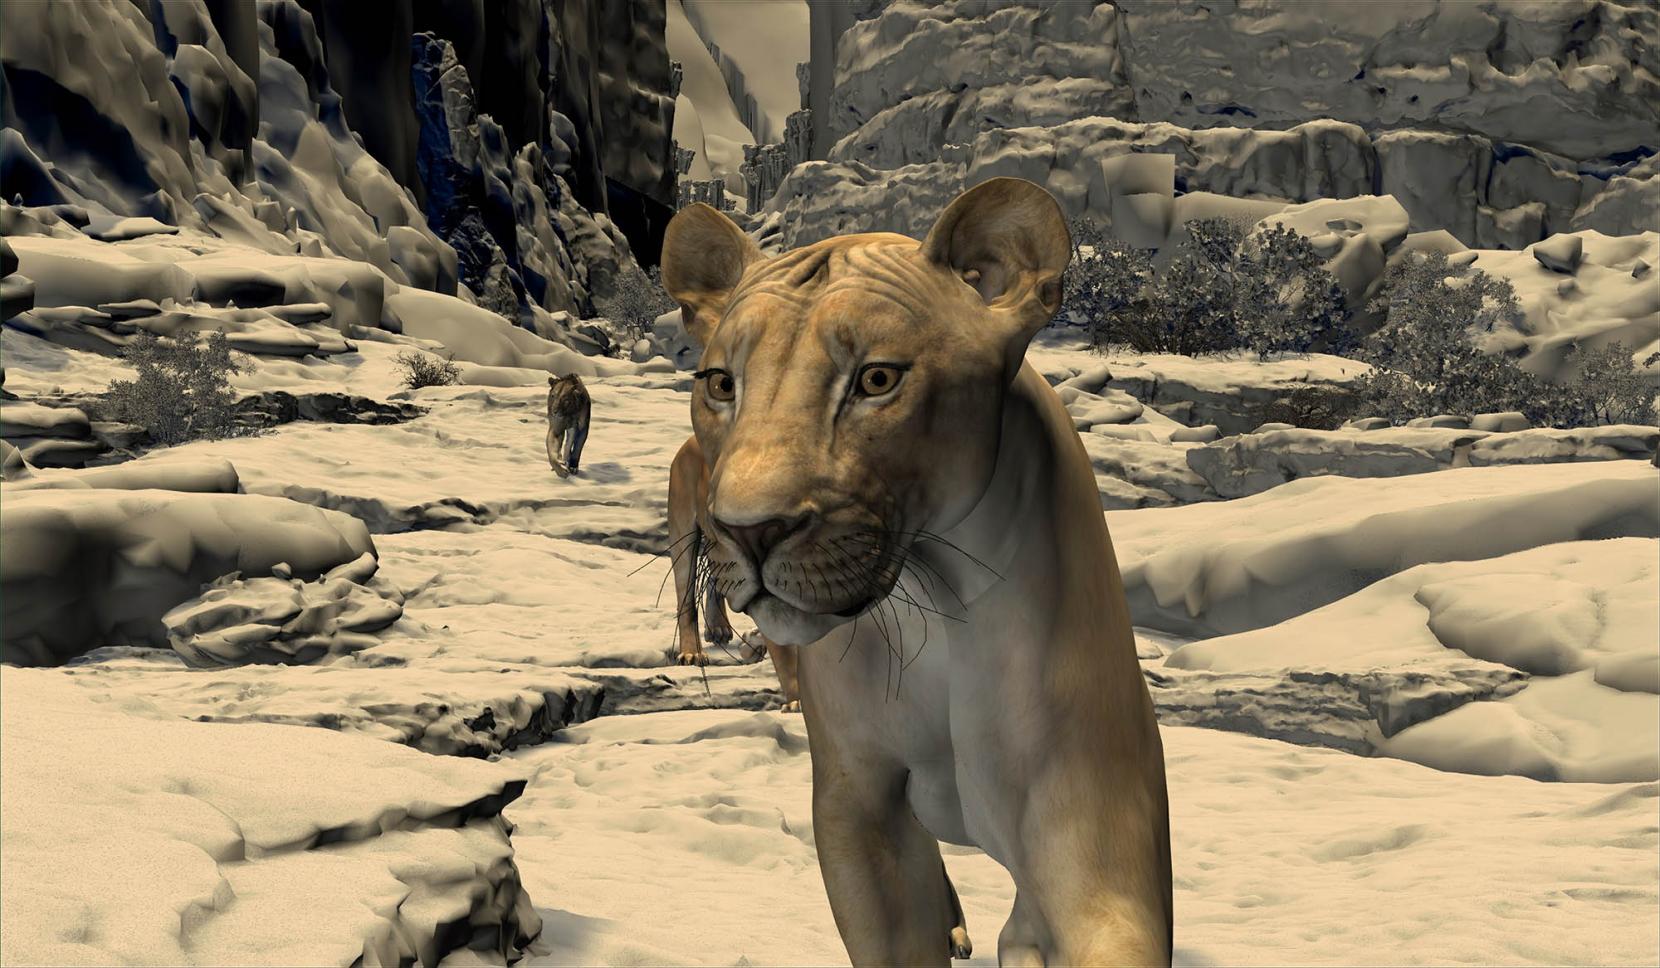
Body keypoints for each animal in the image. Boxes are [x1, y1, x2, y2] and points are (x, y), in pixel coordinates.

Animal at [668, 433, 802, 711]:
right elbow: (787, 658)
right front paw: (796, 702)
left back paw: (719, 627)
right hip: (683, 533)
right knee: (686, 599)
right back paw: (692, 653)